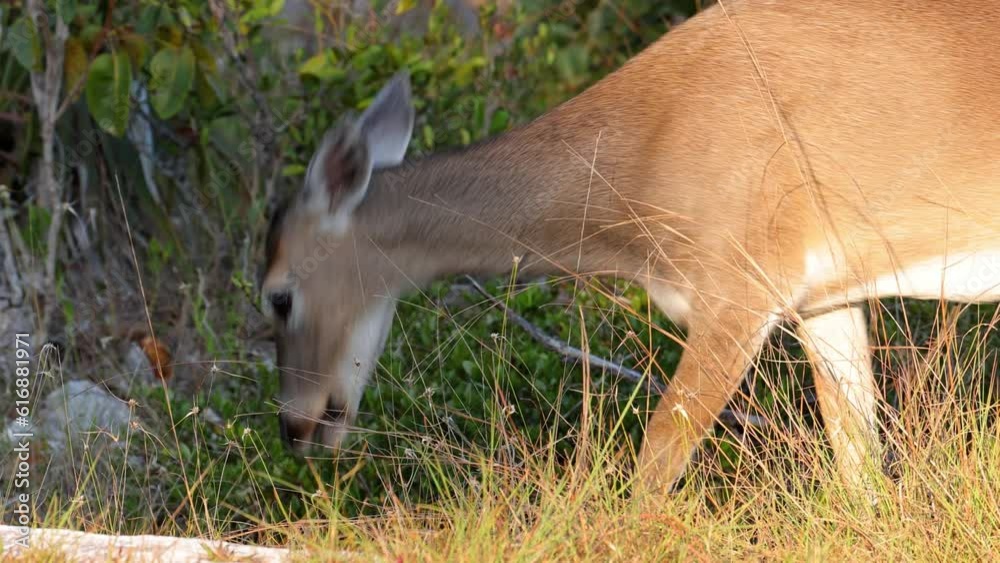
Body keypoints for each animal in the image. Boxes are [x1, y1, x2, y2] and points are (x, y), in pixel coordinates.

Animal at [260, 0, 1000, 495]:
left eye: (277, 297)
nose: (295, 428)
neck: (640, 168)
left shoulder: (742, 280)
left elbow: (656, 459)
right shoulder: (822, 296)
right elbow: (858, 463)